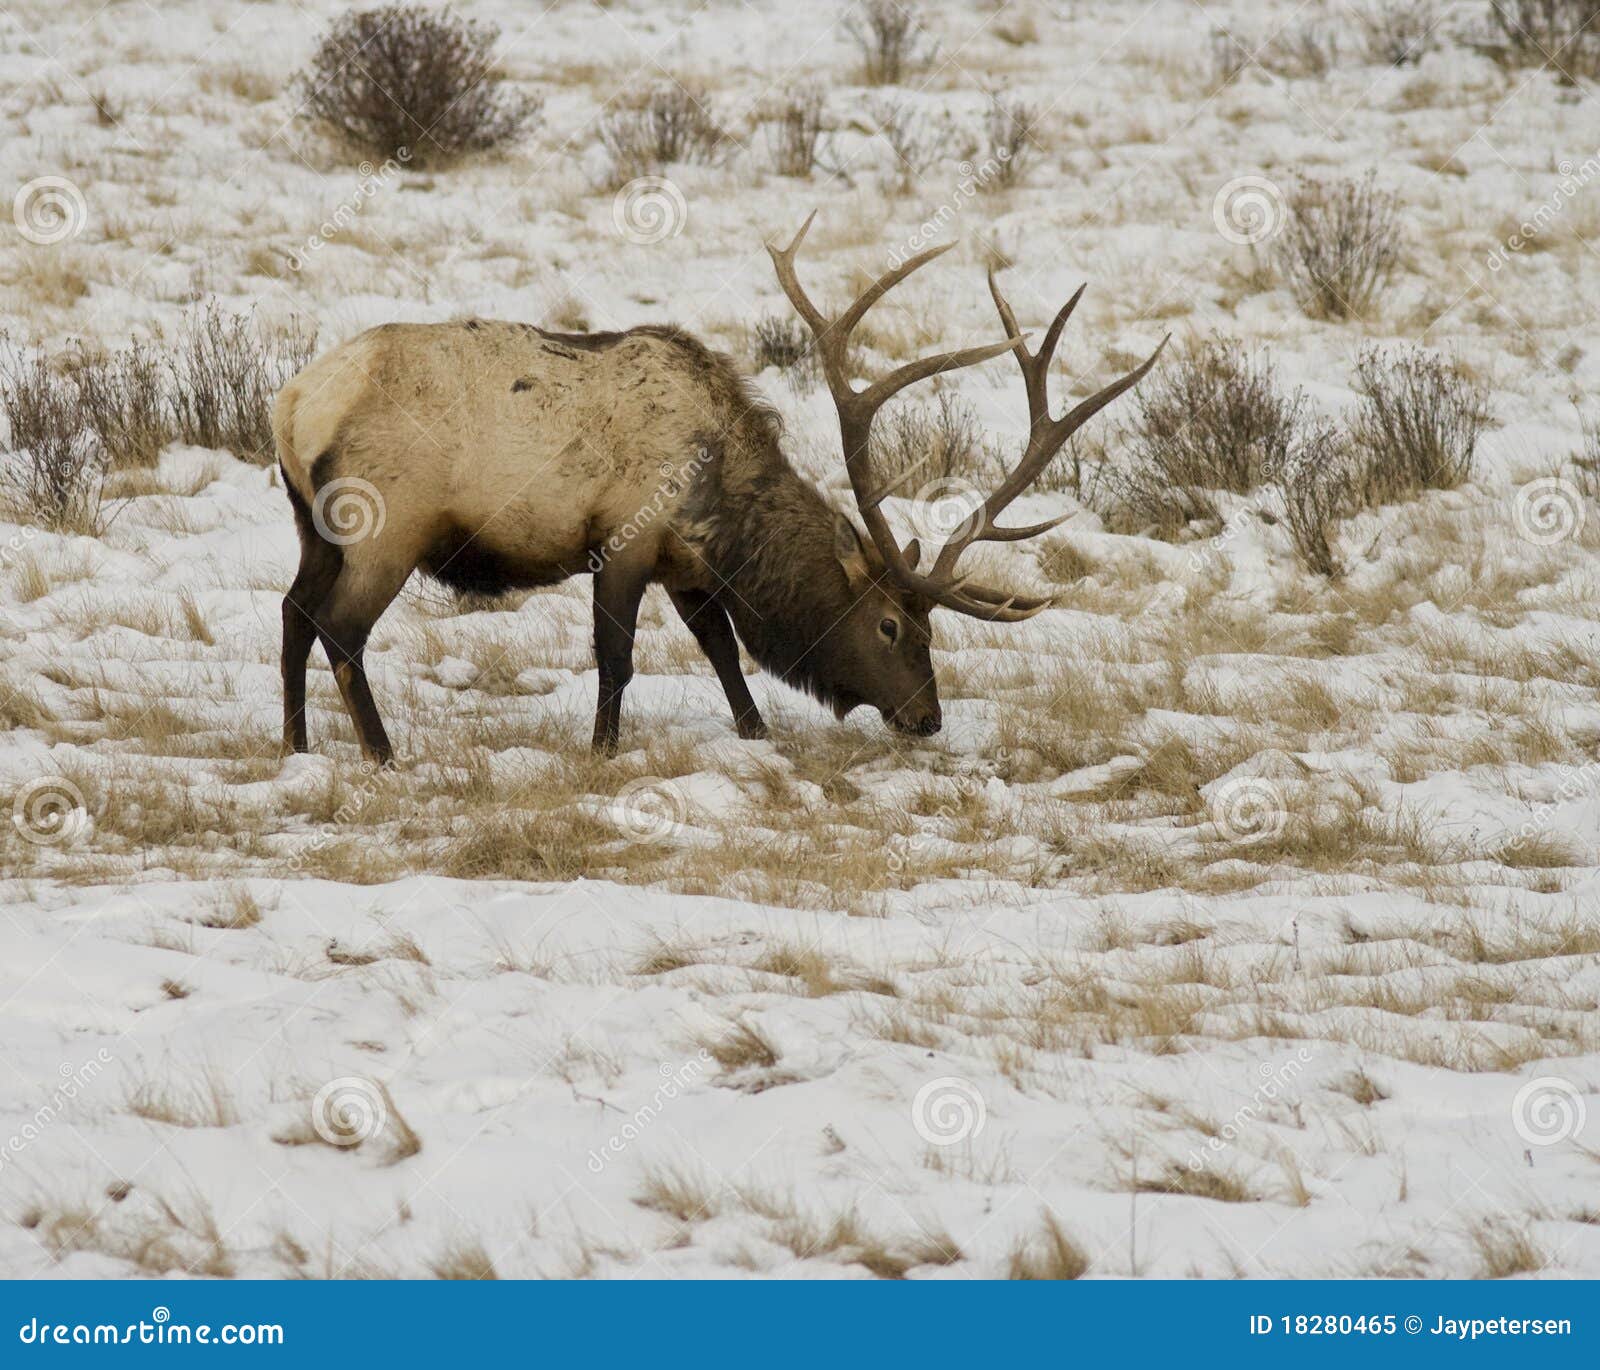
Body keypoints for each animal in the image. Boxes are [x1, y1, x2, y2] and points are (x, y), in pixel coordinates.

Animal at [272, 214, 1164, 767]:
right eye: (889, 625)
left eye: (930, 629)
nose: (927, 718)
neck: (726, 509)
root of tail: (292, 406)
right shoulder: (626, 538)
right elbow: (617, 658)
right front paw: (603, 751)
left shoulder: (688, 568)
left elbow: (724, 653)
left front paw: (757, 734)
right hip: (388, 525)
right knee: (341, 629)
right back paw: (383, 755)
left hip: (314, 526)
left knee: (292, 614)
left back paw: (297, 746)